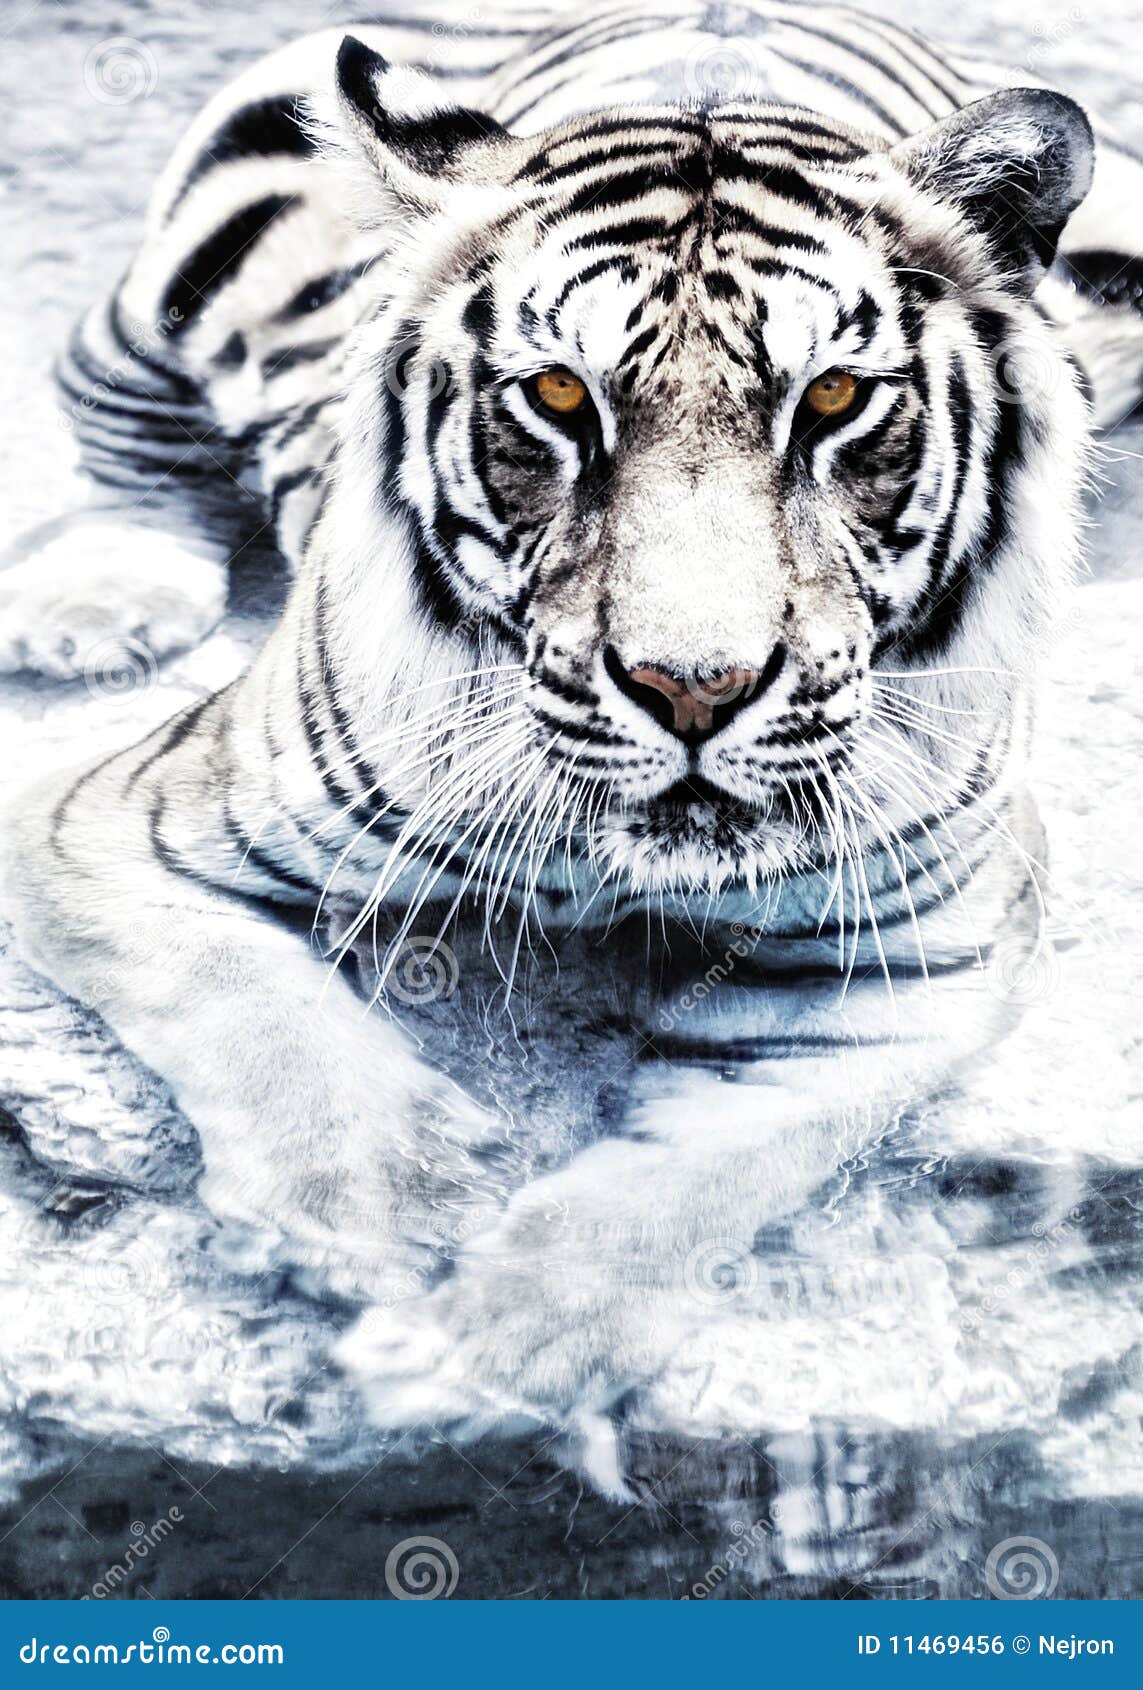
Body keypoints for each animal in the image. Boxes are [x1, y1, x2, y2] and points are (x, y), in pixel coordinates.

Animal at [4, 0, 1143, 1469]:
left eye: (834, 403)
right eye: (555, 396)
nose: (692, 687)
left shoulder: (912, 963)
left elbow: (683, 1185)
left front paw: (479, 1353)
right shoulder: (108, 821)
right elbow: (246, 998)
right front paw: (385, 1210)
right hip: (196, 243)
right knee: (122, 429)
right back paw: (90, 602)